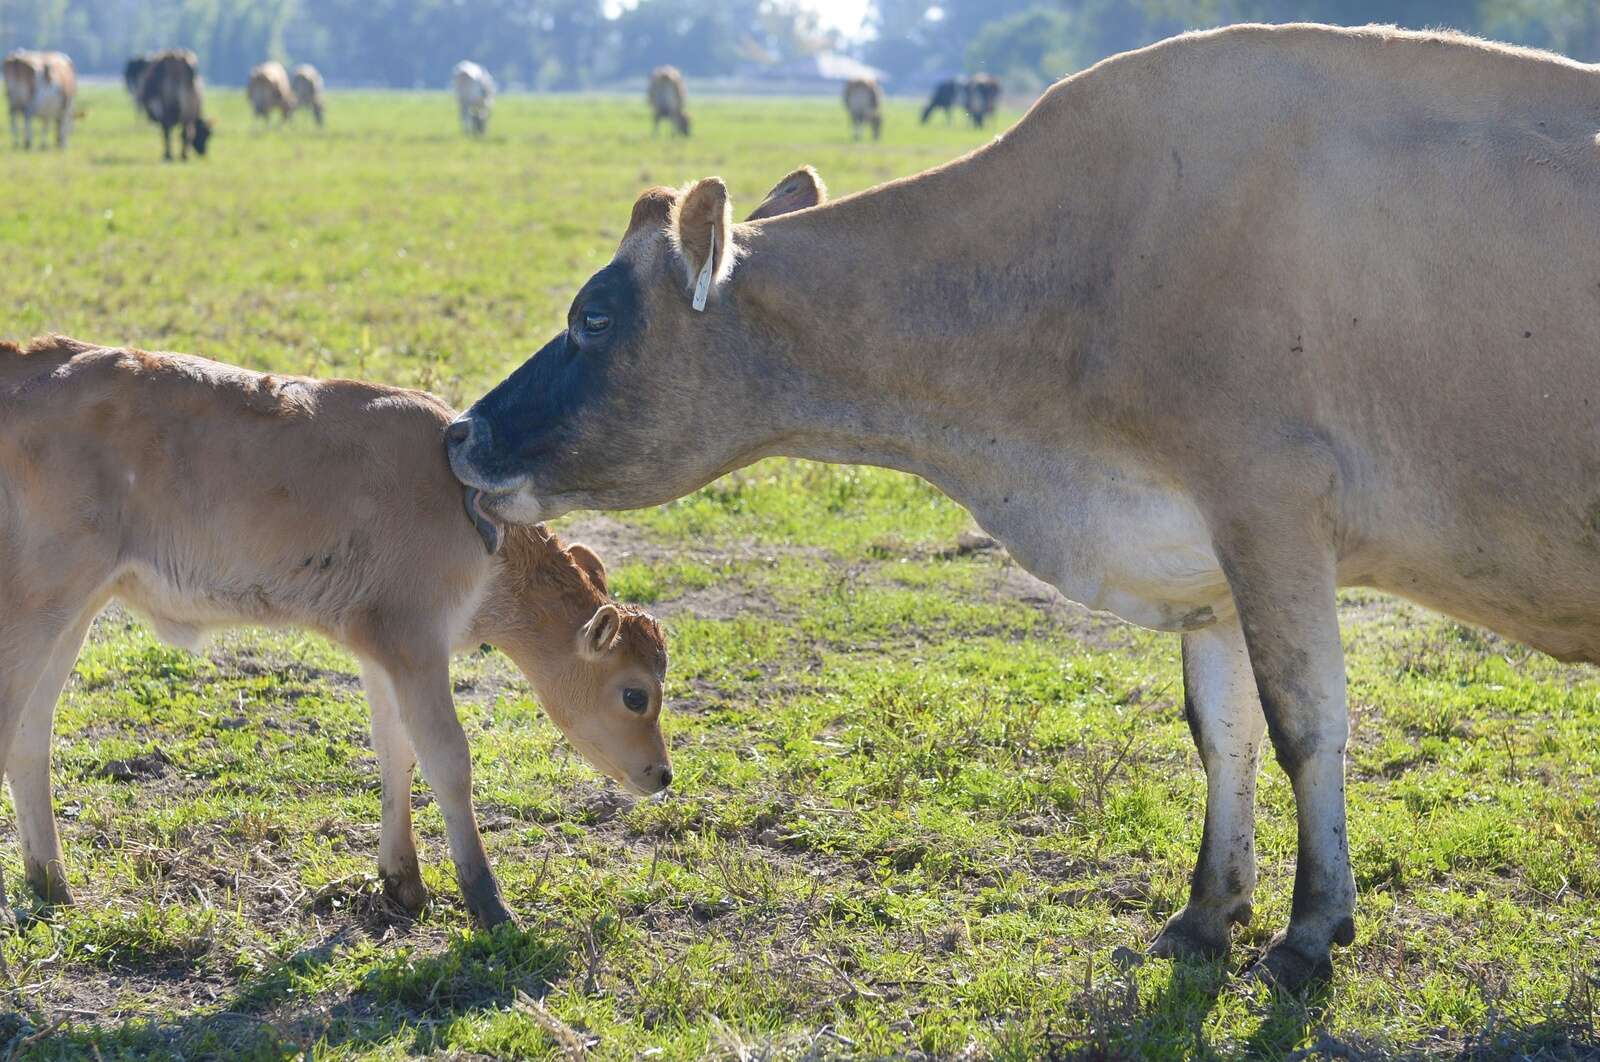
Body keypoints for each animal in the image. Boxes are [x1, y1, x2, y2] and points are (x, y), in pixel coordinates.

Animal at [0, 335, 672, 927]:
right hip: (36, 600)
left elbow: (397, 749)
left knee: (32, 734)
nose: (663, 776)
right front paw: (488, 903)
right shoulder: (416, 639)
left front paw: (404, 883)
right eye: (634, 694)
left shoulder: (381, 646)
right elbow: (448, 757)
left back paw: (51, 883)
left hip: (72, 608)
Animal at [446, 23, 1600, 990]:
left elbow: (1303, 726)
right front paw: (1205, 915)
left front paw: (1310, 932)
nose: (460, 432)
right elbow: (1220, 731)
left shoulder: (1270, 505)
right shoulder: (1197, 546)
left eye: (594, 316)